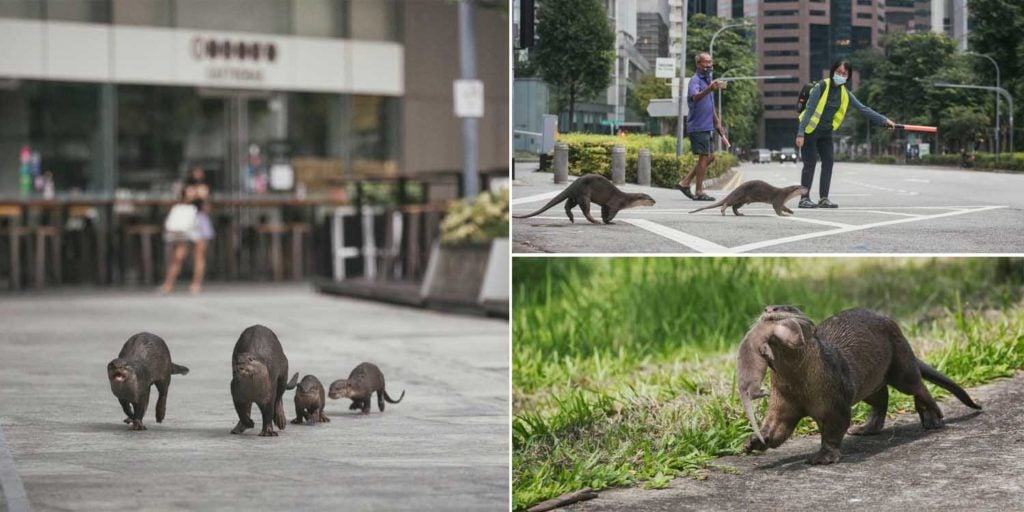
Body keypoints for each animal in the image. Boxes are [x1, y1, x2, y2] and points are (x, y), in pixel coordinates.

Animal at [513, 174, 656, 224]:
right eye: (650, 198)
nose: (655, 201)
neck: (626, 199)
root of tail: (574, 183)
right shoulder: (615, 204)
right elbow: (611, 213)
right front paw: (608, 221)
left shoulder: (605, 205)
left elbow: (604, 211)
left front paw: (606, 221)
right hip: (584, 195)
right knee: (585, 211)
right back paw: (595, 221)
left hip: (576, 196)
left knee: (567, 205)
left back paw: (571, 218)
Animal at [737, 305, 981, 464]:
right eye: (767, 306)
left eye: (790, 307)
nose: (769, 309)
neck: (802, 388)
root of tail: (893, 324)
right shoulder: (783, 402)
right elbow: (776, 428)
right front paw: (754, 442)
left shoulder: (835, 402)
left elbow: (834, 429)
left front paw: (823, 457)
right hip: (869, 384)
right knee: (881, 398)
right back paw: (866, 428)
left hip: (901, 366)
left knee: (917, 385)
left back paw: (931, 417)